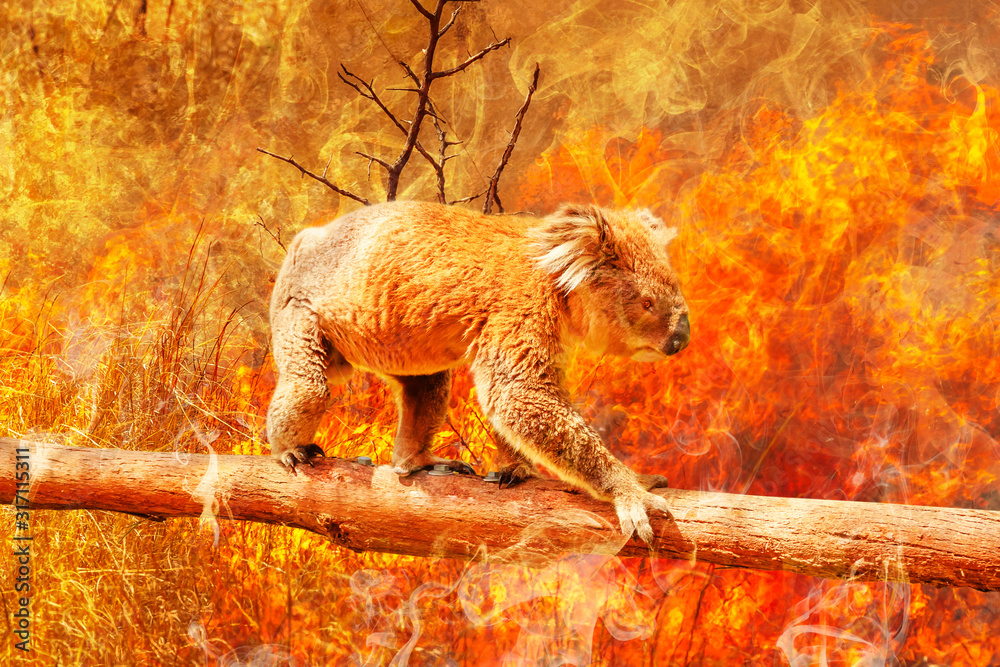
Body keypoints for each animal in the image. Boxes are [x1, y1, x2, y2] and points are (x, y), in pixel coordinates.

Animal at [266, 200, 690, 544]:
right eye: (647, 302)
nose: (681, 340)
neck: (557, 277)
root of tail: (303, 241)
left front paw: (515, 470)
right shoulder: (518, 313)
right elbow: (517, 395)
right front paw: (633, 491)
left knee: (425, 394)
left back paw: (423, 461)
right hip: (298, 313)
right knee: (308, 387)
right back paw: (291, 451)